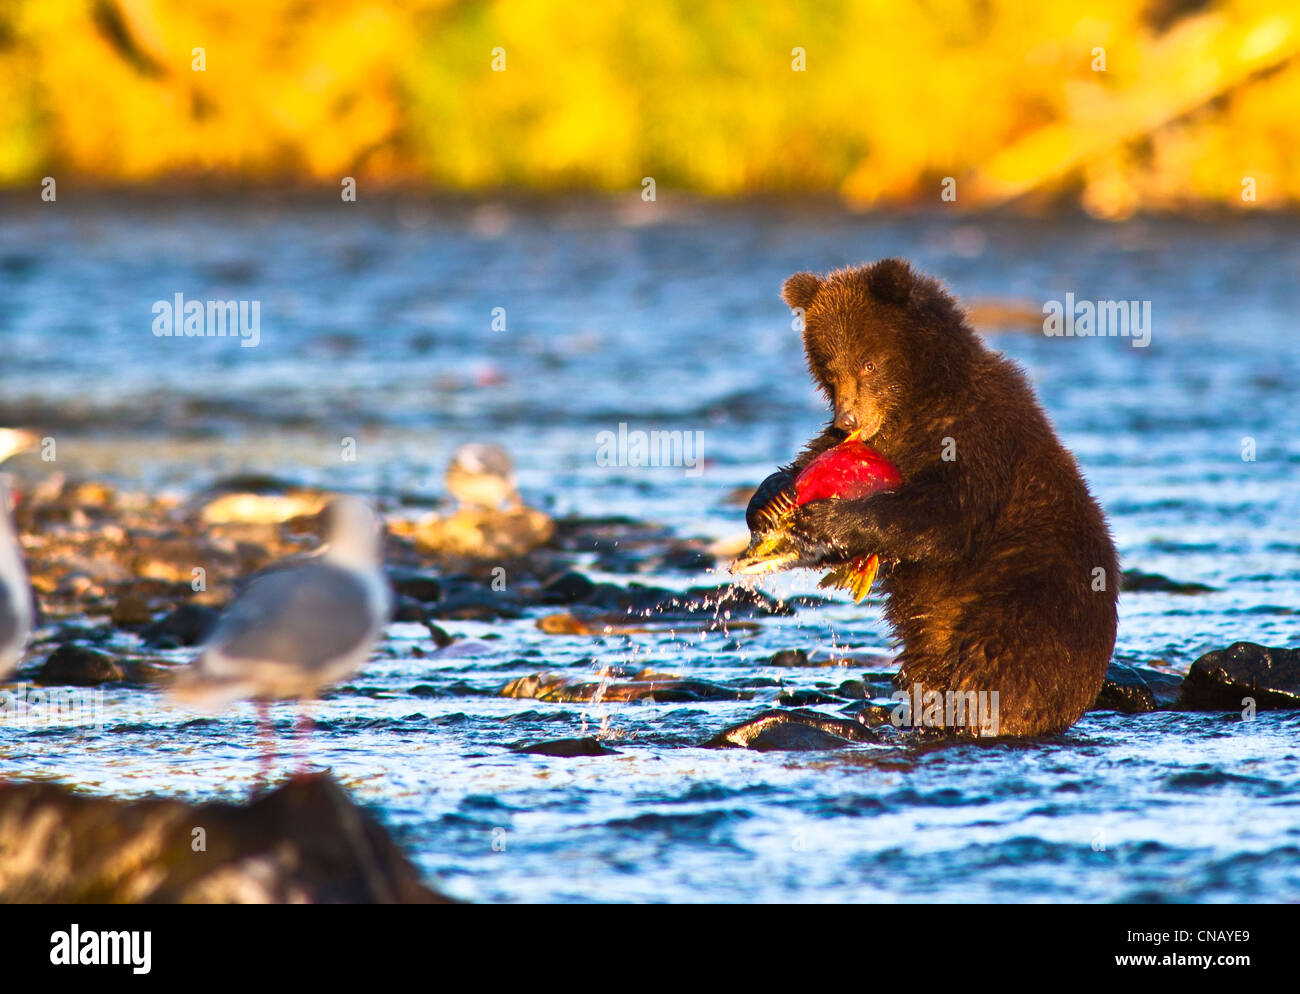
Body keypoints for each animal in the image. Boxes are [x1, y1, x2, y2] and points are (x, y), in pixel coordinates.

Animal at [749, 258, 1119, 737]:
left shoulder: (976, 439)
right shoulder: (874, 442)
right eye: (829, 368)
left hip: (1024, 605)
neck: (913, 406)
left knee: (994, 667)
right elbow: (817, 460)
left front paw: (827, 518)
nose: (847, 418)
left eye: (869, 363)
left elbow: (942, 519)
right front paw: (771, 497)